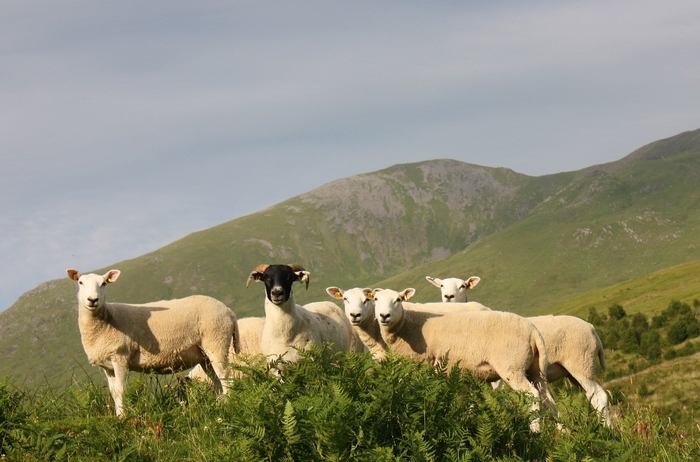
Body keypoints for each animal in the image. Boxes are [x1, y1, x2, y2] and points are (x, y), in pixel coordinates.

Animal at [66, 268, 240, 416]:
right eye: (80, 282)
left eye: (103, 284)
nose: (92, 300)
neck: (107, 319)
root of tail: (228, 311)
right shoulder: (107, 366)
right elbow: (114, 393)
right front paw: (118, 416)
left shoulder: (121, 356)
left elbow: (121, 390)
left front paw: (123, 418)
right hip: (204, 355)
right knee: (216, 380)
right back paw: (218, 403)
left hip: (216, 340)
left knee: (226, 376)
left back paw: (227, 404)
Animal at [373, 287, 556, 432]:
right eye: (375, 299)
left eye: (398, 300)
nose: (384, 315)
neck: (406, 326)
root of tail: (533, 331)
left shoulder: (419, 365)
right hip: (535, 370)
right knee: (547, 398)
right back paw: (560, 429)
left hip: (512, 367)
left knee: (532, 394)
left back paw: (535, 429)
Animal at [426, 276, 611, 427]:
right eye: (441, 285)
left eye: (463, 286)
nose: (448, 297)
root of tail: (591, 328)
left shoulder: (497, 377)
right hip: (572, 372)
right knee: (590, 396)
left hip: (581, 363)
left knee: (599, 396)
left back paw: (608, 430)